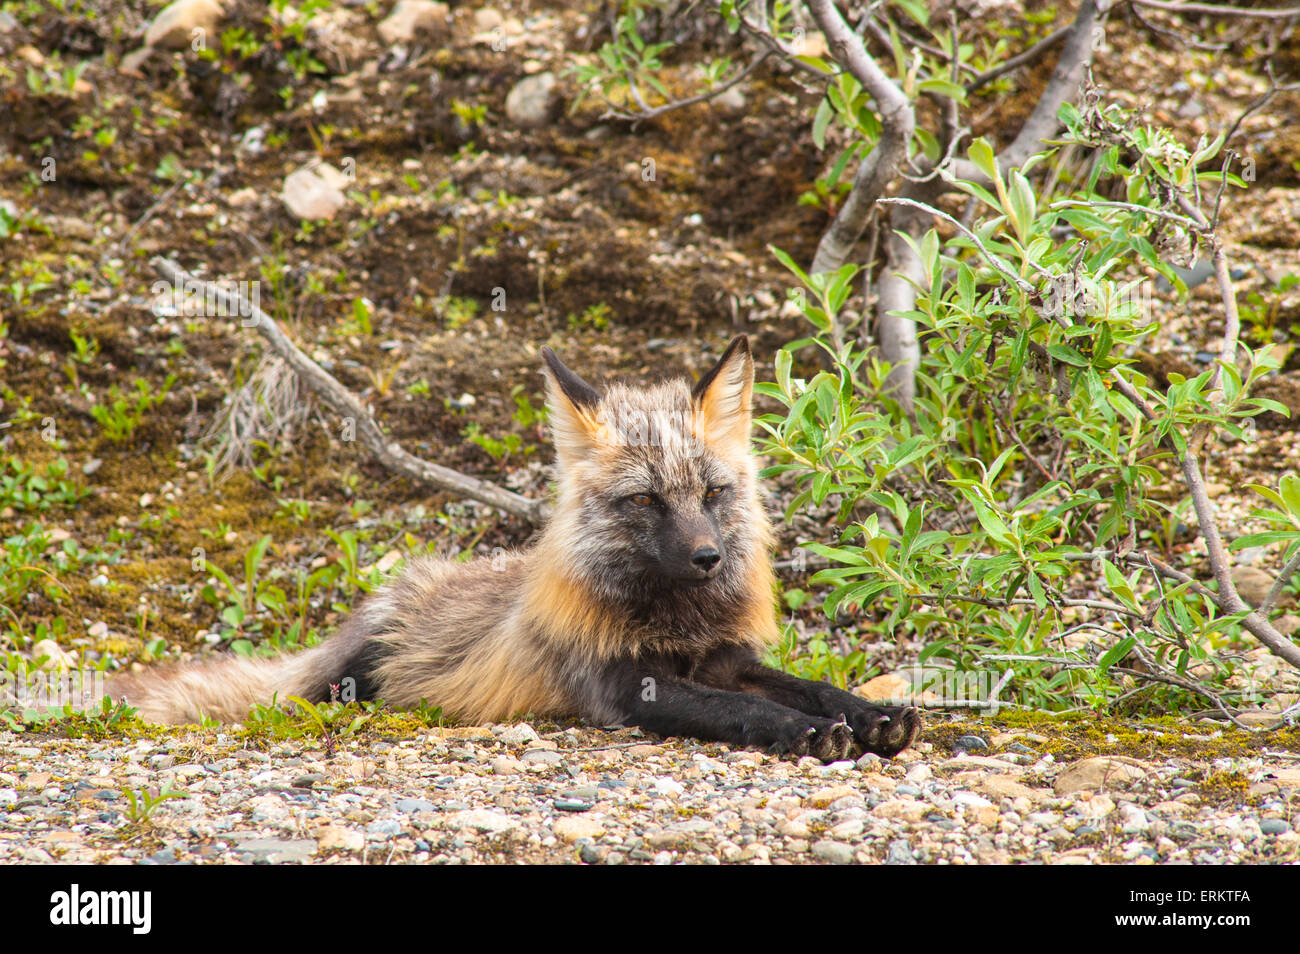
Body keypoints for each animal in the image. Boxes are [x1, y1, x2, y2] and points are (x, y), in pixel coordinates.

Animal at [107, 336, 922, 761]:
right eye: (646, 501)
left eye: (713, 493)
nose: (707, 559)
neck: (676, 626)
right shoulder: (620, 687)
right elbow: (735, 710)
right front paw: (805, 732)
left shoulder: (729, 659)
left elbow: (808, 686)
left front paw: (871, 714)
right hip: (347, 677)